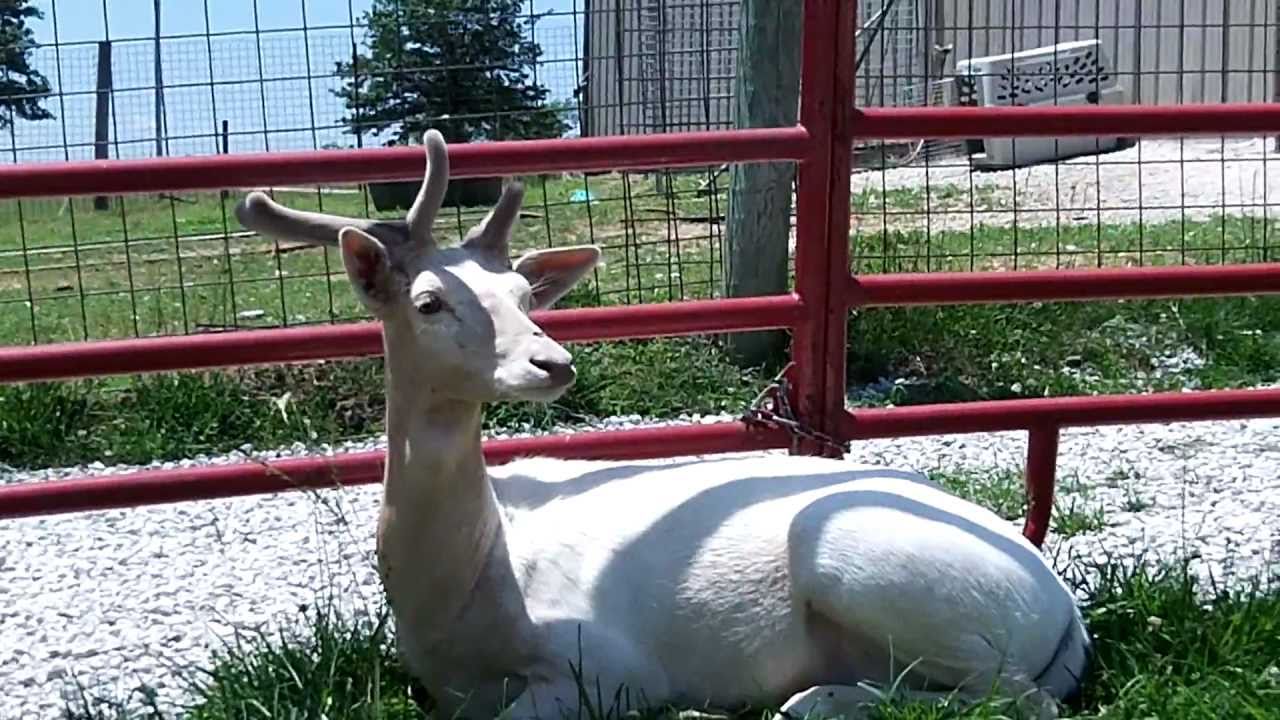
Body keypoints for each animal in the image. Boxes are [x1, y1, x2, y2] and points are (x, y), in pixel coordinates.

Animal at [234, 130, 1091, 720]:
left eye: (524, 294)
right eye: (429, 302)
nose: (553, 363)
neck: (462, 601)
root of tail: (1066, 614)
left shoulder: (606, 664)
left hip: (871, 568)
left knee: (1019, 699)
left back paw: (805, 700)